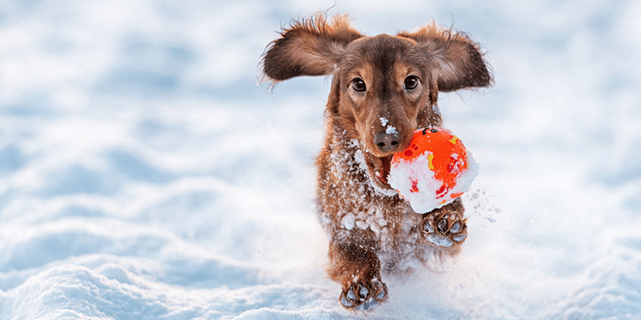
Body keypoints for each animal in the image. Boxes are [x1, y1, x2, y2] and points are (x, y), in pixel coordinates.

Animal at [260, 14, 490, 310]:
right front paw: (362, 284)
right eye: (358, 84)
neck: (386, 202)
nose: (387, 138)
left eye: (411, 81)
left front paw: (444, 219)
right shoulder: (341, 226)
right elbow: (353, 252)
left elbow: (446, 225)